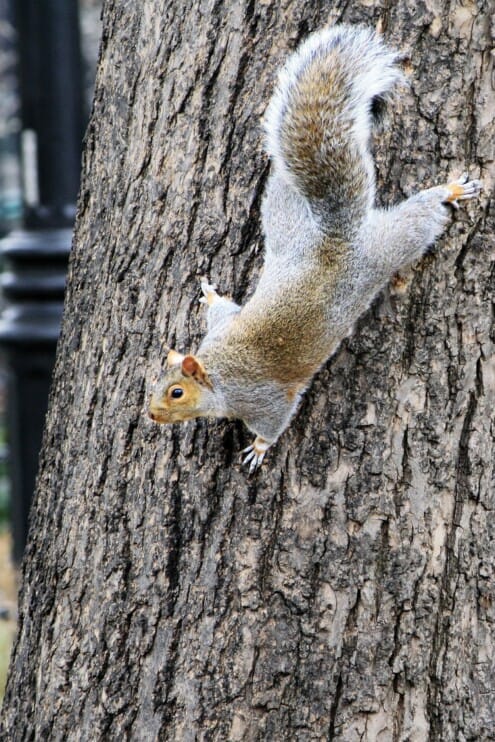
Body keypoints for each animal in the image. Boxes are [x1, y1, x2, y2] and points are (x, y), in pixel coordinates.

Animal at [148, 24, 482, 473]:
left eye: (177, 393)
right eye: (156, 383)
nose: (151, 413)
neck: (218, 371)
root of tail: (334, 235)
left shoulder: (264, 400)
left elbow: (274, 422)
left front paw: (259, 448)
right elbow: (225, 310)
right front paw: (212, 296)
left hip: (387, 248)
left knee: (419, 219)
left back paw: (449, 191)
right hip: (286, 223)